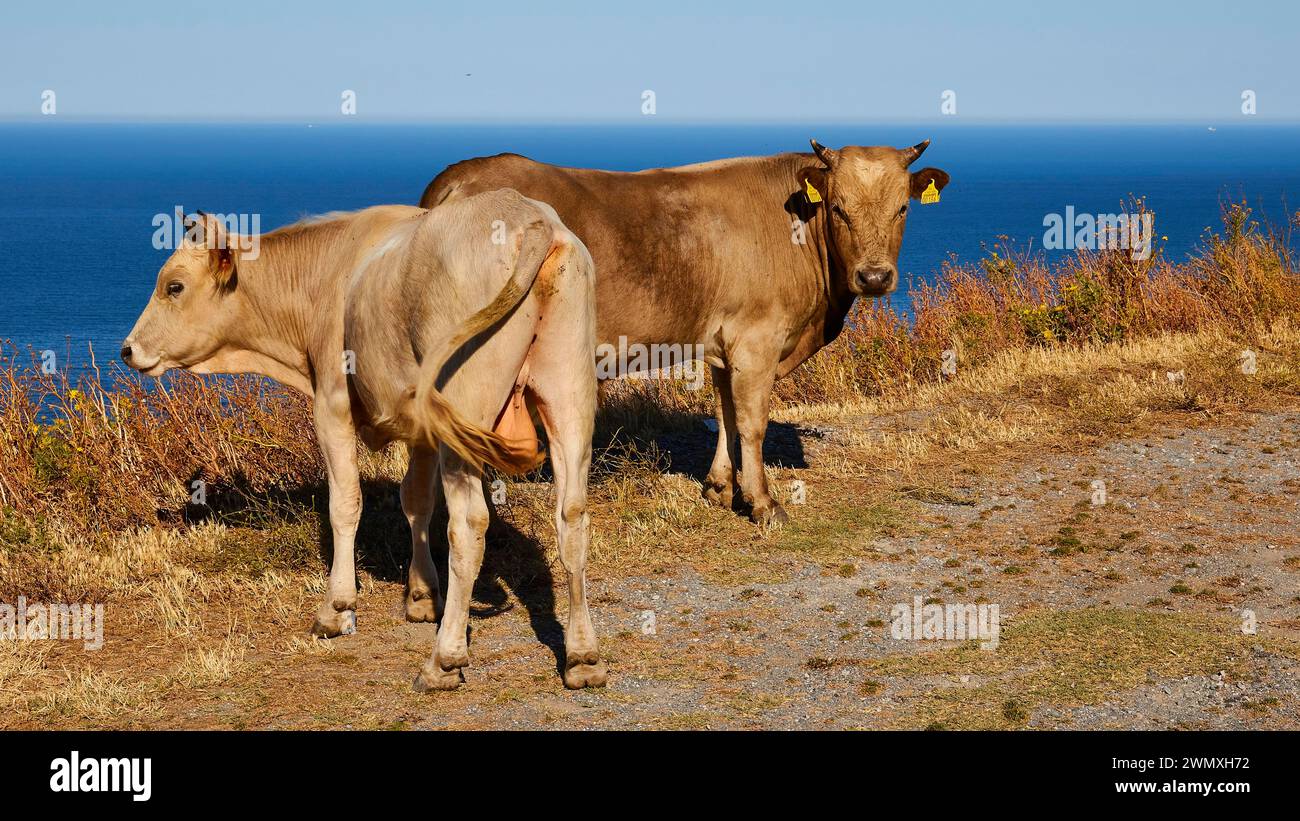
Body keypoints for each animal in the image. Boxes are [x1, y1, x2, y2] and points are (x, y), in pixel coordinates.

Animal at [121, 191, 607, 690]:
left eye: (174, 287)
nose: (127, 349)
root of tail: (528, 216)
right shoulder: (423, 425)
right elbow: (415, 500)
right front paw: (421, 594)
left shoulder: (332, 403)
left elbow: (344, 504)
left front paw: (337, 608)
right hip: (568, 392)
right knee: (572, 517)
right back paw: (582, 657)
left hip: (467, 406)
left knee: (469, 525)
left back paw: (445, 659)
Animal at [420, 140, 950, 527]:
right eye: (838, 208)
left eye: (903, 209)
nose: (875, 277)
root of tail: (462, 175)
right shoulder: (757, 341)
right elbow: (753, 423)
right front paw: (764, 504)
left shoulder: (723, 343)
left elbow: (725, 414)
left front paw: (718, 488)